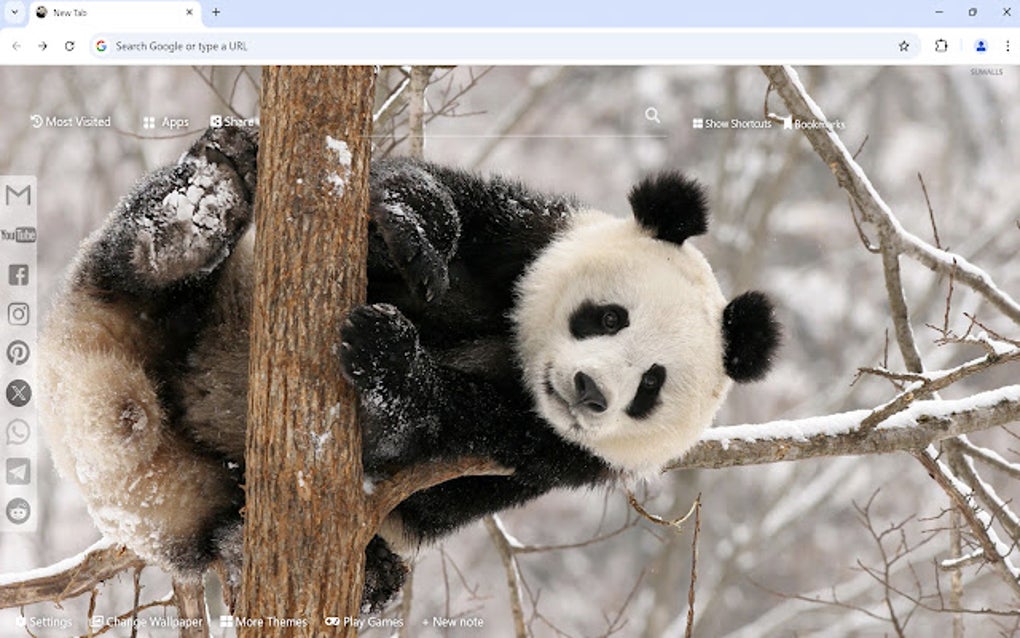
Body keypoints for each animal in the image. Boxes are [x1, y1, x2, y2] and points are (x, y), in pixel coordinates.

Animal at [41, 126, 780, 610]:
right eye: (606, 317)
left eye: (651, 384)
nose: (590, 390)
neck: (516, 358)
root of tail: (114, 418)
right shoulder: (526, 235)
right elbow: (434, 205)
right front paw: (413, 227)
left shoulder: (551, 455)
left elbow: (436, 462)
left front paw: (388, 360)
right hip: (159, 306)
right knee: (133, 268)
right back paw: (198, 206)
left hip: (197, 493)